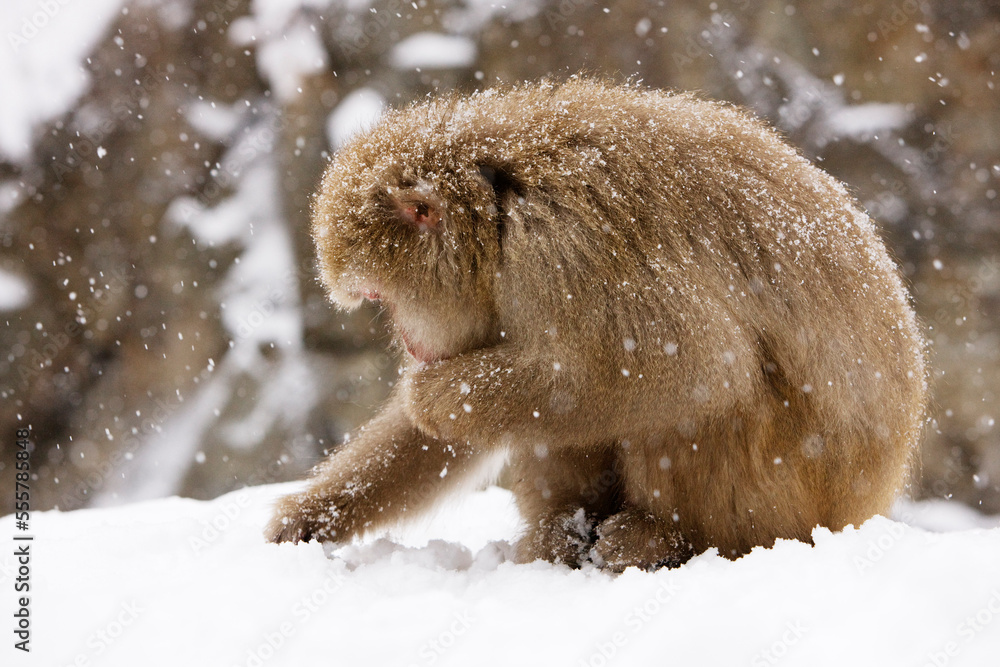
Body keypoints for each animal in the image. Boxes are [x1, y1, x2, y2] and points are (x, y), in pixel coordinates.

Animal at [265, 77, 927, 571]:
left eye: (380, 298)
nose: (406, 339)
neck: (499, 211)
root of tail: (868, 501)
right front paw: (314, 518)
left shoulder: (566, 250)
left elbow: (696, 364)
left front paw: (433, 395)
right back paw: (561, 536)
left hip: (789, 492)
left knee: (695, 404)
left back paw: (662, 539)